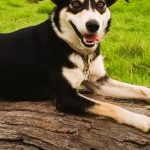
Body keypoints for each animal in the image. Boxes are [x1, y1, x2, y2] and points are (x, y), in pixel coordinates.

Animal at [0, 0, 150, 132]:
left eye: (101, 4)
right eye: (75, 4)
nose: (93, 25)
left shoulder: (99, 82)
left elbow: (142, 90)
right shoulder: (66, 96)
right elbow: (111, 106)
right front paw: (142, 120)